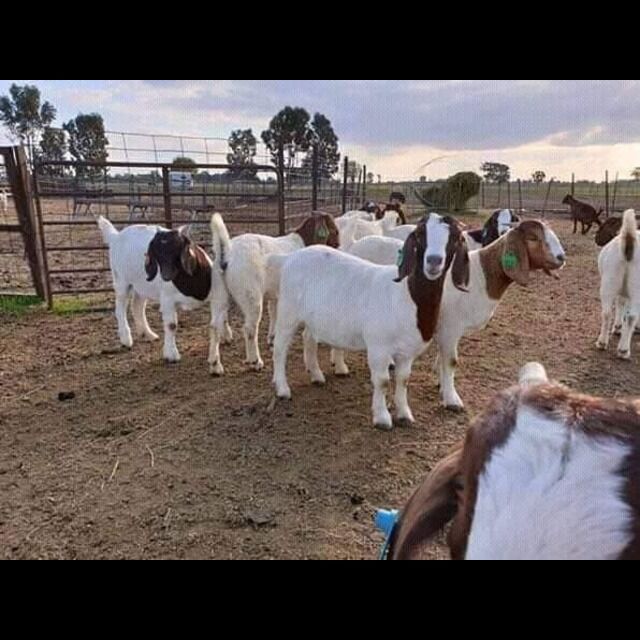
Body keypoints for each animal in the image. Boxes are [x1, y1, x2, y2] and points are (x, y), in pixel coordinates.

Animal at [97, 216, 219, 363]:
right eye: (156, 254)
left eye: (178, 248)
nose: (166, 275)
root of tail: (115, 236)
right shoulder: (167, 299)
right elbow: (171, 325)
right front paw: (171, 354)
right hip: (121, 280)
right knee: (120, 308)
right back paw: (126, 339)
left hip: (142, 285)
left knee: (137, 305)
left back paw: (147, 334)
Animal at [208, 211, 340, 376]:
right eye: (334, 230)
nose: (338, 246)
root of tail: (227, 253)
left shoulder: (276, 293)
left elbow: (273, 313)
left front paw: (272, 338)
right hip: (251, 295)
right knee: (250, 328)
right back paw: (255, 361)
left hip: (218, 292)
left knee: (214, 325)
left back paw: (215, 365)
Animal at [271, 213, 470, 430]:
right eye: (419, 234)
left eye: (455, 238)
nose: (434, 261)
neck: (406, 295)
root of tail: (290, 258)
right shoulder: (379, 347)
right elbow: (382, 381)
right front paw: (382, 418)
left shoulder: (407, 352)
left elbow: (403, 380)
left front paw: (404, 414)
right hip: (288, 311)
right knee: (280, 348)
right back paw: (282, 389)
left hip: (313, 317)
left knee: (308, 337)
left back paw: (316, 375)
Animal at [435, 219, 565, 410]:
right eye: (533, 238)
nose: (561, 257)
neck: (478, 276)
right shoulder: (451, 326)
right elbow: (451, 361)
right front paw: (452, 400)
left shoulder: (442, 329)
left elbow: (441, 357)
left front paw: (442, 387)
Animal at [596, 209, 640, 360]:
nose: (596, 239)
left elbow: (622, 304)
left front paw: (619, 328)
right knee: (629, 315)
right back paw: (622, 349)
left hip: (610, 279)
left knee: (607, 312)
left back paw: (605, 343)